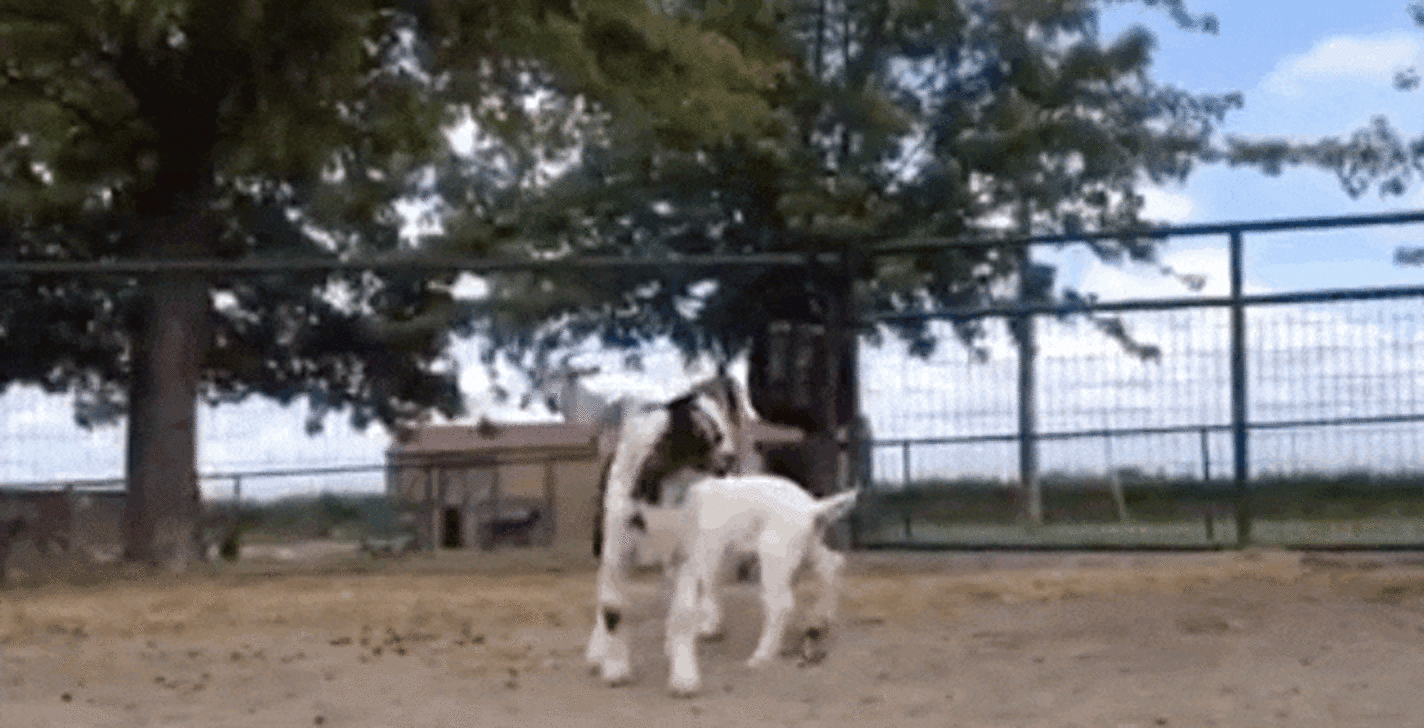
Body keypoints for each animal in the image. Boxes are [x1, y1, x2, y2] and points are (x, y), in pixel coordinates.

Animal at [664, 473, 856, 696]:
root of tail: (811, 507)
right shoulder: (715, 559)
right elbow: (710, 592)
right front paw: (710, 627)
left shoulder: (705, 556)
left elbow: (690, 605)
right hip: (809, 547)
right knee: (832, 564)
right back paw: (820, 619)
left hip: (773, 554)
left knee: (781, 605)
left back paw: (762, 655)